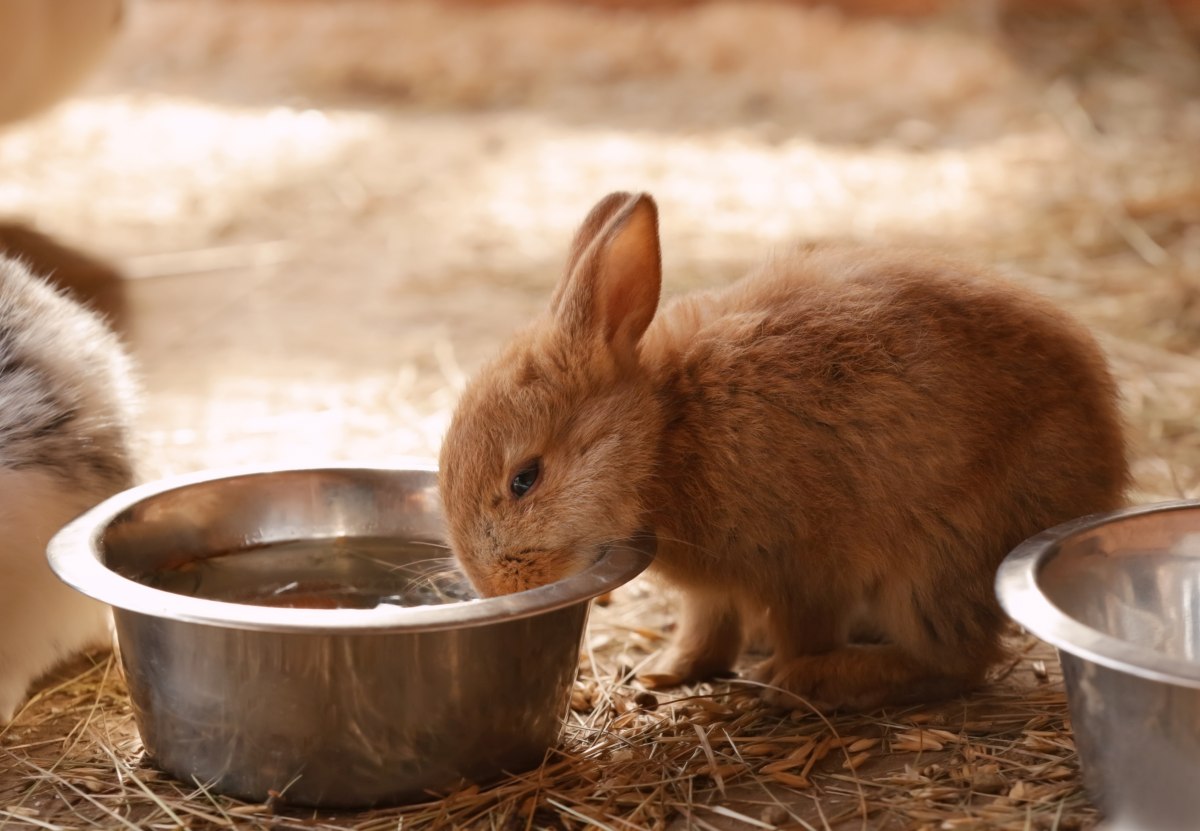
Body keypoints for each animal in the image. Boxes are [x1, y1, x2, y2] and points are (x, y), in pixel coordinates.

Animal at [437, 192, 1128, 711]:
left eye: (525, 478)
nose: (495, 585)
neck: (665, 431)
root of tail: (1103, 474)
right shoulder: (715, 591)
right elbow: (706, 628)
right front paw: (665, 670)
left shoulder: (804, 567)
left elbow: (802, 630)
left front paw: (783, 678)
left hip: (937, 561)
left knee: (956, 661)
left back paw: (820, 681)